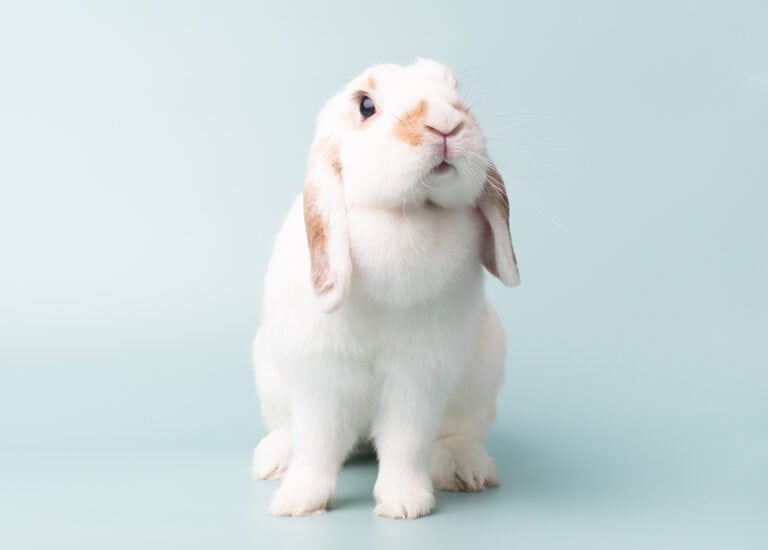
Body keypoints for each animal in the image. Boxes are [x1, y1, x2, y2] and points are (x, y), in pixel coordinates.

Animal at [251, 59, 520, 519]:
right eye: (366, 106)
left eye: (454, 89)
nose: (446, 123)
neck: (406, 213)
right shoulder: (323, 376)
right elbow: (317, 447)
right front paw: (298, 503)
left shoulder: (419, 375)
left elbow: (405, 444)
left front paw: (405, 504)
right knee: (291, 431)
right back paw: (273, 461)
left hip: (483, 370)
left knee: (457, 432)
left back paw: (467, 469)